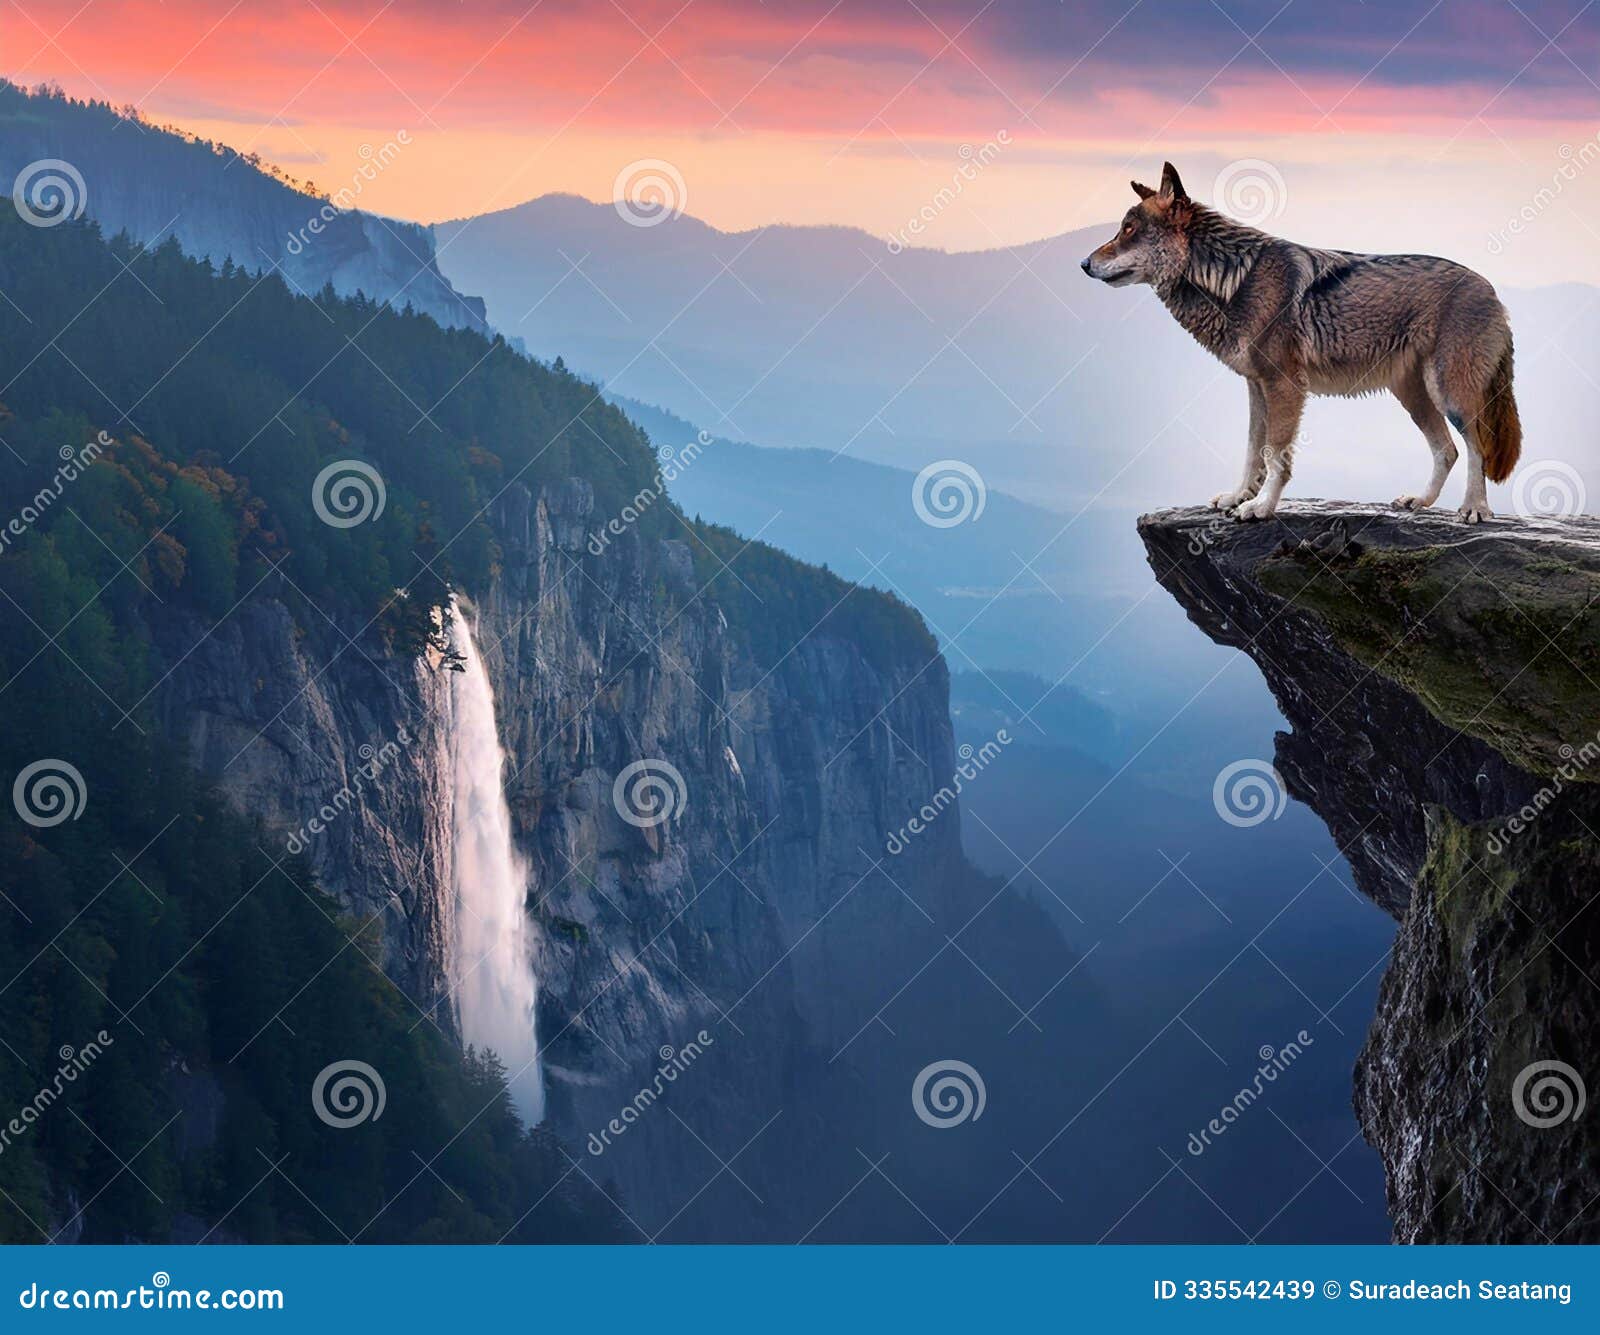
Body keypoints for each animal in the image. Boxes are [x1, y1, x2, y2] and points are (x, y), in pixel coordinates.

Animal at [1081, 163, 1520, 523]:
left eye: (1129, 231)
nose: (1084, 264)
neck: (1233, 278)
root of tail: (1491, 288)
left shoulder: (1284, 385)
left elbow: (1276, 455)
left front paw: (1261, 507)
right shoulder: (1256, 386)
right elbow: (1253, 451)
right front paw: (1239, 497)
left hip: (1449, 394)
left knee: (1476, 446)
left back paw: (1475, 509)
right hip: (1413, 396)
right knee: (1447, 450)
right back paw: (1421, 502)